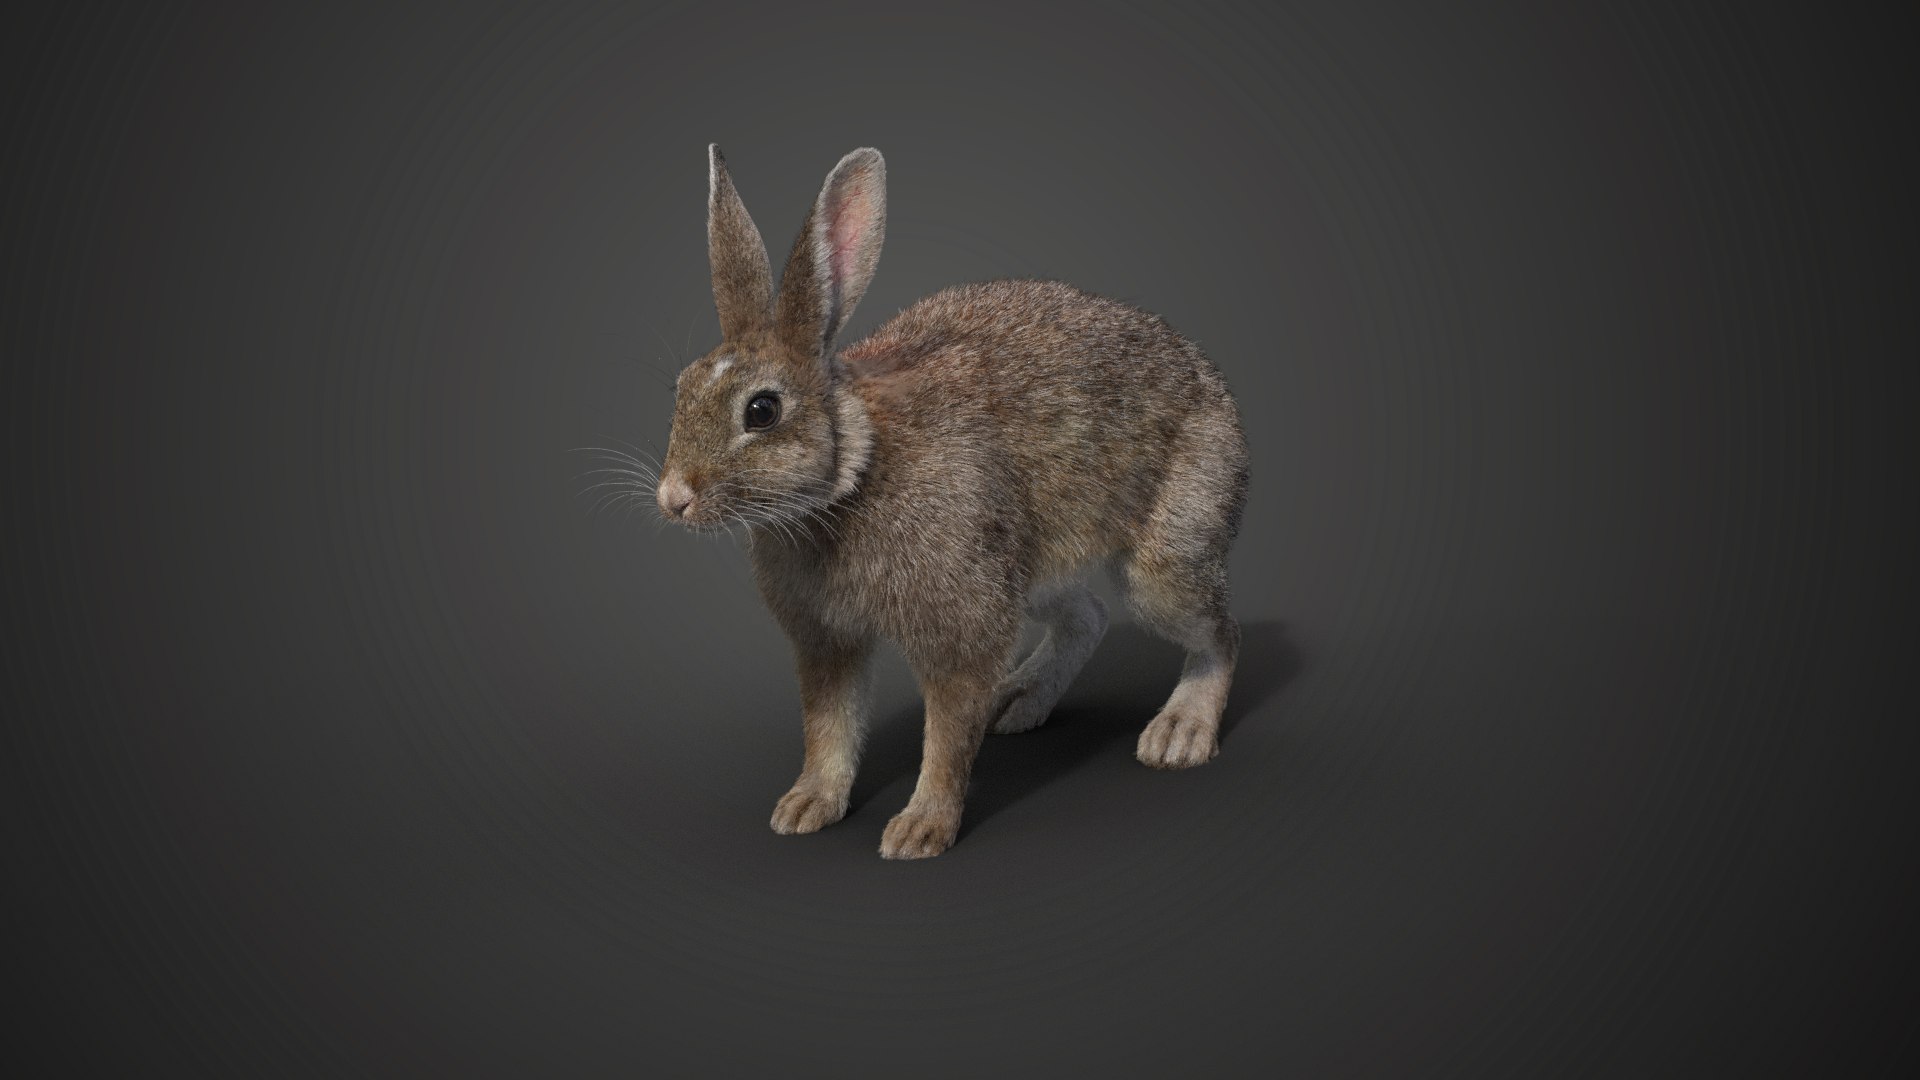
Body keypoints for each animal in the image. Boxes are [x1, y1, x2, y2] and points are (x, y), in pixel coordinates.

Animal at [651, 145, 1248, 859]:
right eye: (682, 389)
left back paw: (1179, 735)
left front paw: (919, 832)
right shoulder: (826, 640)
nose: (672, 497)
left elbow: (946, 735)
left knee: (1217, 633)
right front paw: (805, 807)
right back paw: (1018, 701)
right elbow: (829, 727)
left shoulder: (959, 623)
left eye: (762, 411)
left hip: (1164, 557)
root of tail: (1216, 389)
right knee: (1088, 615)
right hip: (1030, 571)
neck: (851, 478)